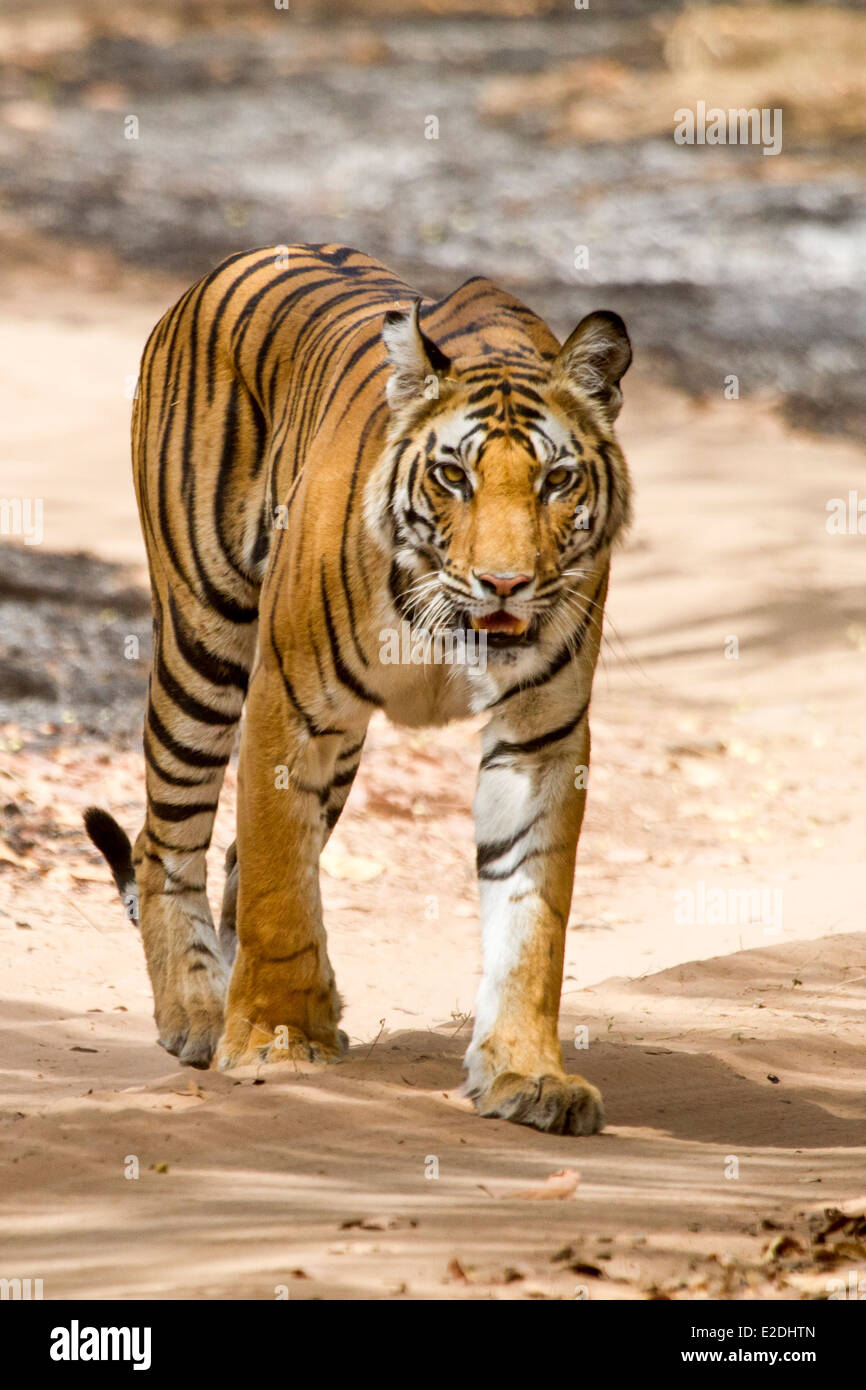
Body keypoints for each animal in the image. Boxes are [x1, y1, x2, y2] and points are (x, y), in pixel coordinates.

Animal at [84, 243, 632, 1136]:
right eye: (452, 476)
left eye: (556, 481)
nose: (506, 584)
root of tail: (226, 266)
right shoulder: (290, 701)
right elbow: (278, 880)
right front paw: (271, 1042)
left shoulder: (541, 737)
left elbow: (532, 916)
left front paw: (528, 1074)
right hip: (205, 642)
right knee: (165, 842)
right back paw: (200, 1011)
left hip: (337, 747)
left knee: (237, 854)